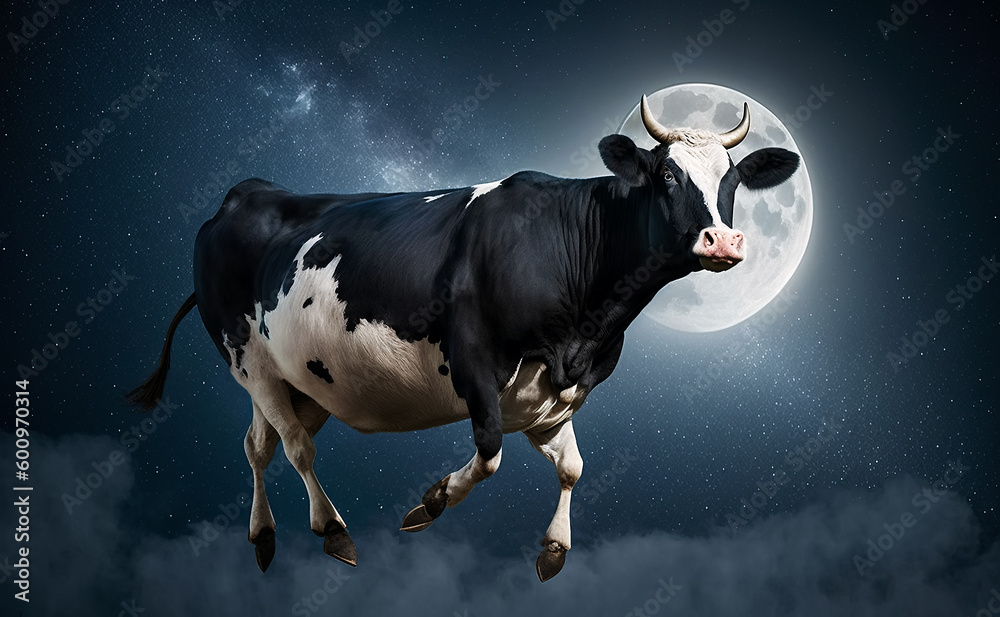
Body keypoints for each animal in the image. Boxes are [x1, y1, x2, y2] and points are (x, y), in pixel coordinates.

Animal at [127, 95, 800, 582]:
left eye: (733, 181)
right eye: (665, 175)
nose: (723, 242)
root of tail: (242, 194)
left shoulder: (562, 389)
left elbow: (573, 468)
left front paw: (554, 548)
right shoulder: (474, 359)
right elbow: (490, 452)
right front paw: (430, 502)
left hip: (303, 379)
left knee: (258, 445)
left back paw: (264, 536)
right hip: (247, 359)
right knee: (295, 448)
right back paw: (332, 529)